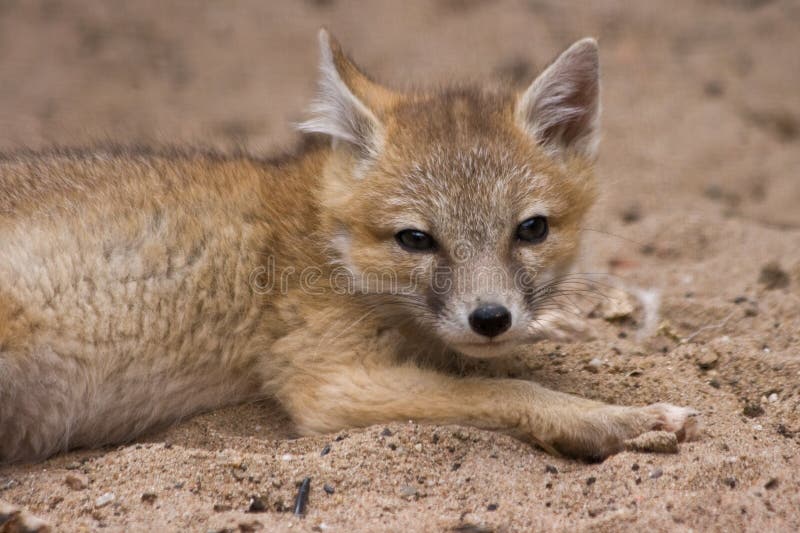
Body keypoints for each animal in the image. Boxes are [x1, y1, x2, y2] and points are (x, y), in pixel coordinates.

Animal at [0, 30, 699, 464]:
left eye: (531, 230)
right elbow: (511, 394)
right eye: (415, 239)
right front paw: (618, 420)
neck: (322, 241)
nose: (491, 319)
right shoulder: (332, 383)